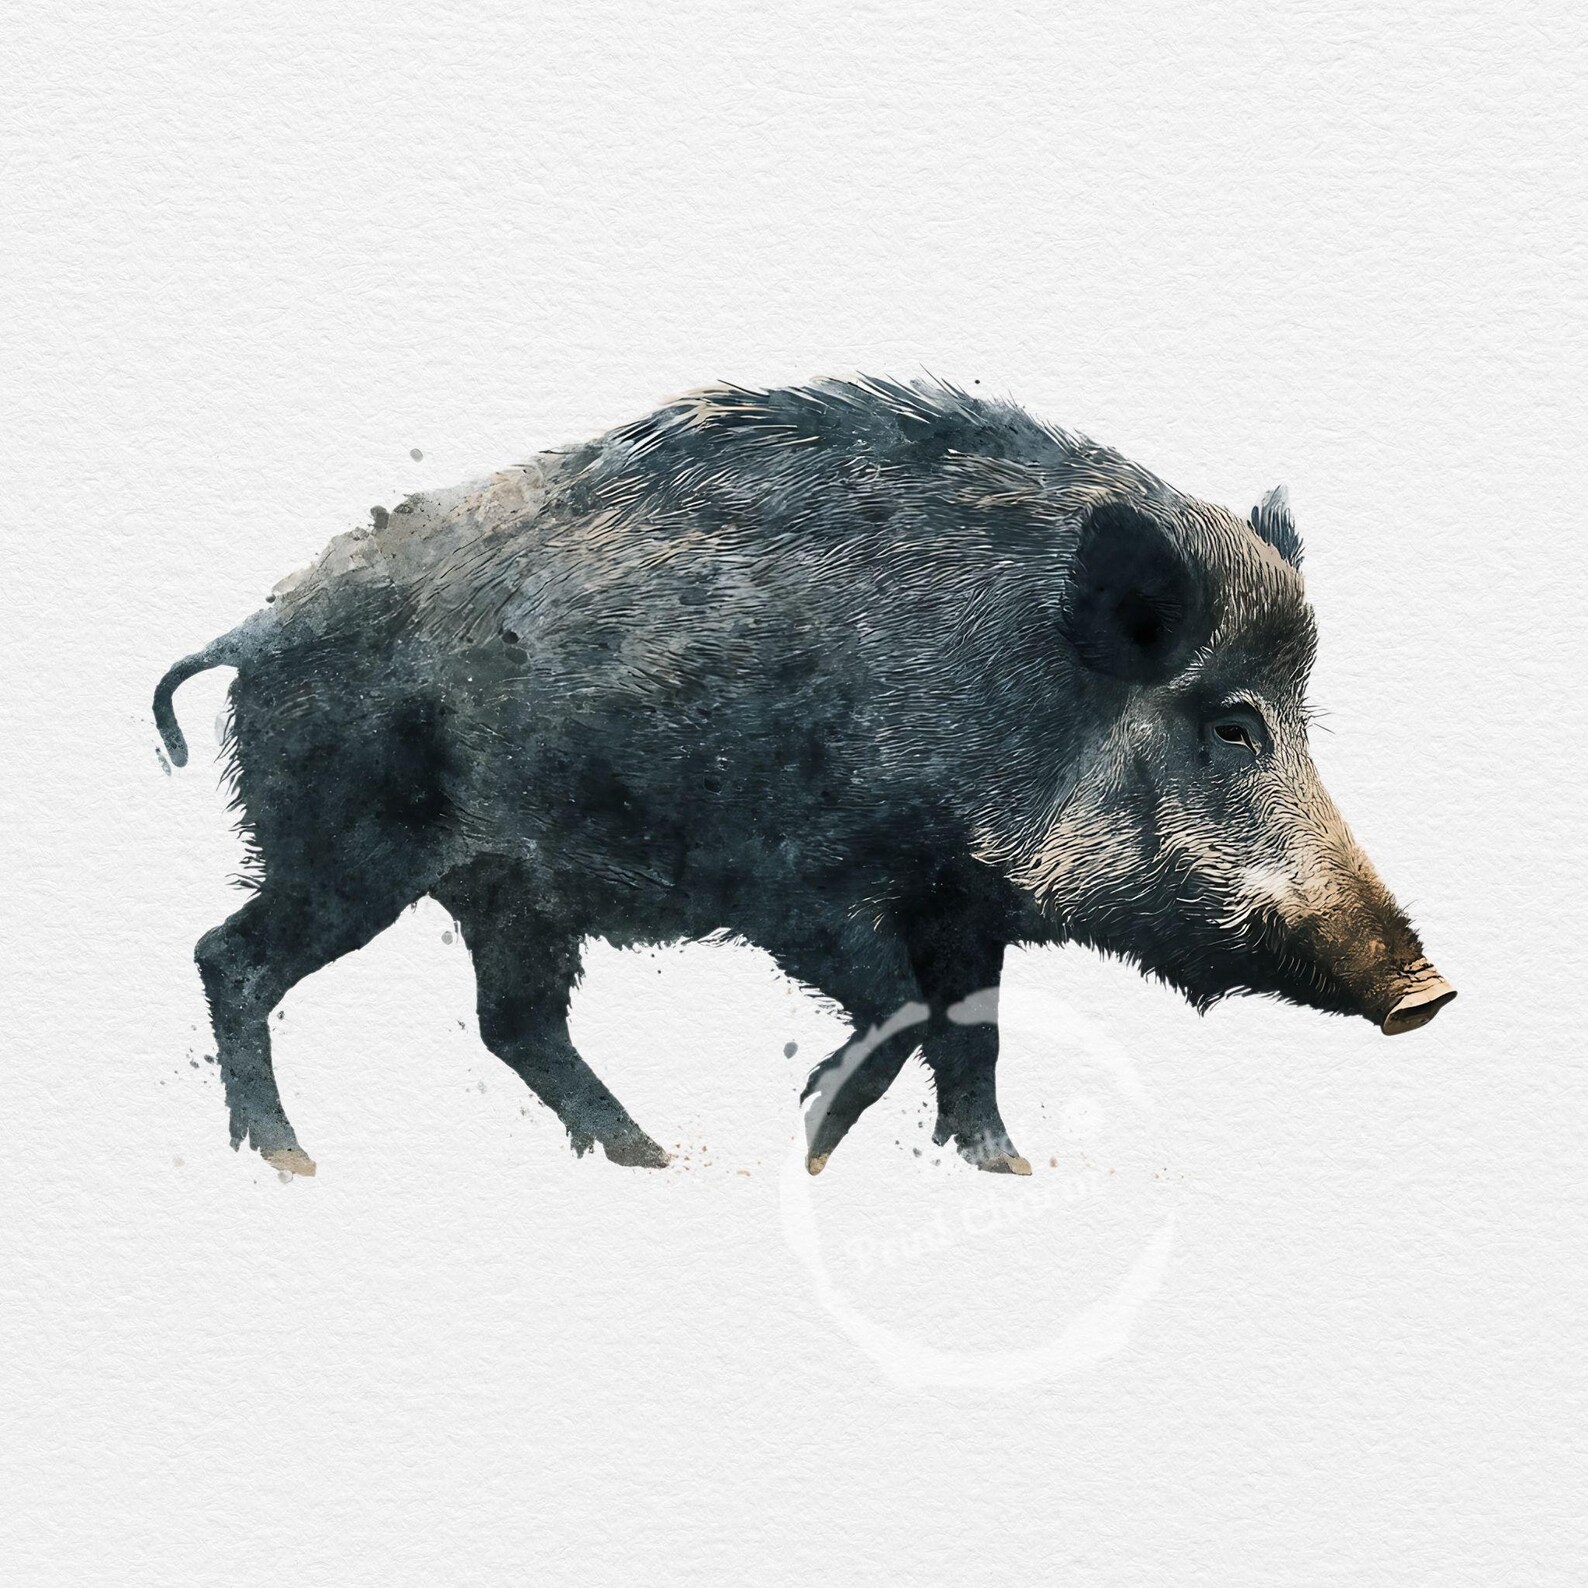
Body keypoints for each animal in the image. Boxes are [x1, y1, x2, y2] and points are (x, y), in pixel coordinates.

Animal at [154, 376, 1455, 1179]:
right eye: (1231, 726)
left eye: (1298, 718)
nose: (1428, 991)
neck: (1010, 694)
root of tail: (256, 628)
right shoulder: (803, 886)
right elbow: (895, 1014)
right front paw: (811, 1144)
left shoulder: (962, 905)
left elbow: (973, 1035)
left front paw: (1005, 1168)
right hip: (347, 851)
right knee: (230, 957)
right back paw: (291, 1160)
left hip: (509, 892)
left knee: (514, 1020)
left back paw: (650, 1157)